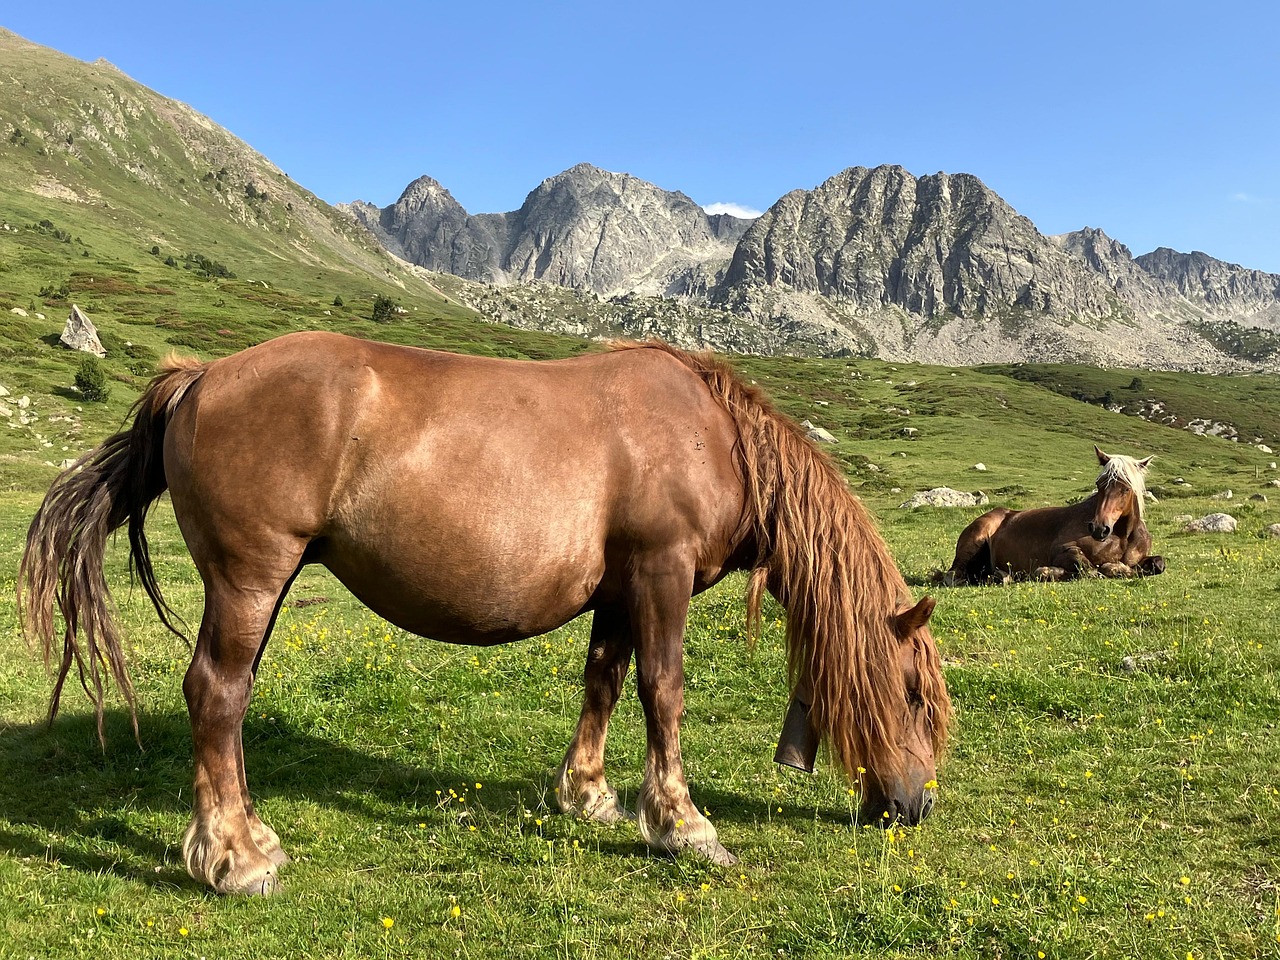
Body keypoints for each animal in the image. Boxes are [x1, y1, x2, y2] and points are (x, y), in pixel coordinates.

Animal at [19, 332, 950, 895]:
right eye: (912, 696)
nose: (913, 808)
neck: (709, 434)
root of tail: (201, 377)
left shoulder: (620, 590)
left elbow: (604, 681)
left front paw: (587, 795)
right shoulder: (661, 574)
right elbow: (663, 691)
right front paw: (682, 824)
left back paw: (250, 835)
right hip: (251, 578)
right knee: (216, 693)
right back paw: (235, 857)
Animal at [940, 447, 1166, 585]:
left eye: (1125, 489)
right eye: (1099, 484)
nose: (1099, 528)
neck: (1122, 536)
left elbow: (1158, 564)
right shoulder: (1063, 549)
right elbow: (1090, 569)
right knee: (954, 575)